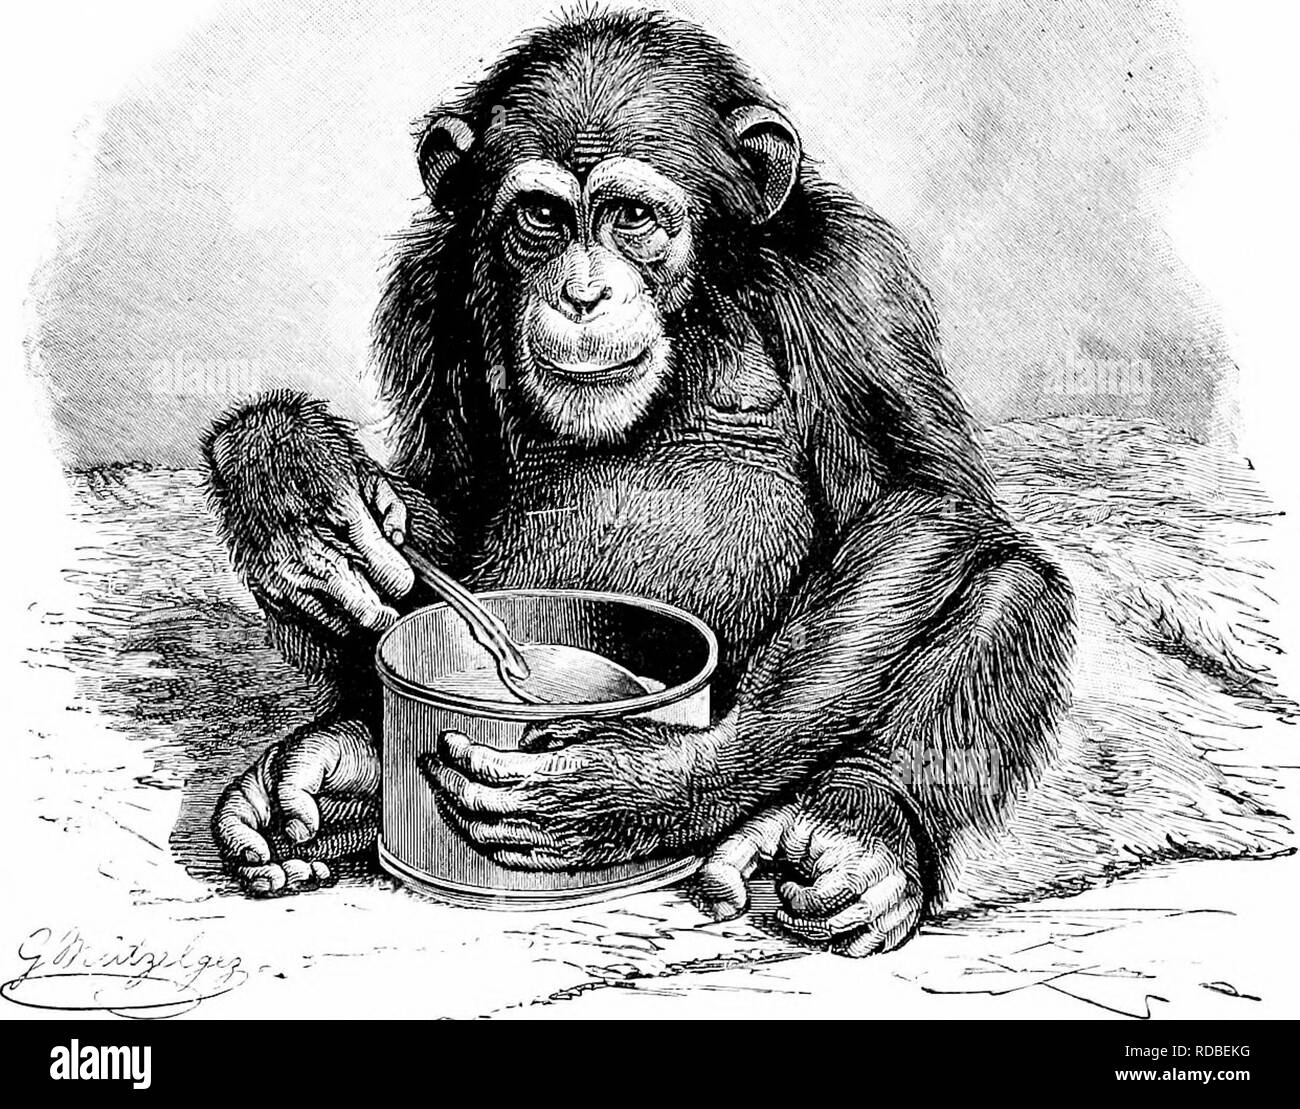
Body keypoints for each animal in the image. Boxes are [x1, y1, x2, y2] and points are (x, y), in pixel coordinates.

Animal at [203, 9, 1074, 956]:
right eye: (542, 216)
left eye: (631, 216)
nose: (583, 293)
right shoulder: (427, 291)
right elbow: (442, 509)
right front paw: (292, 481)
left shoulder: (852, 277)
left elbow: (919, 499)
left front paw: (640, 781)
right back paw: (337, 771)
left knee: (1010, 582)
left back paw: (858, 832)